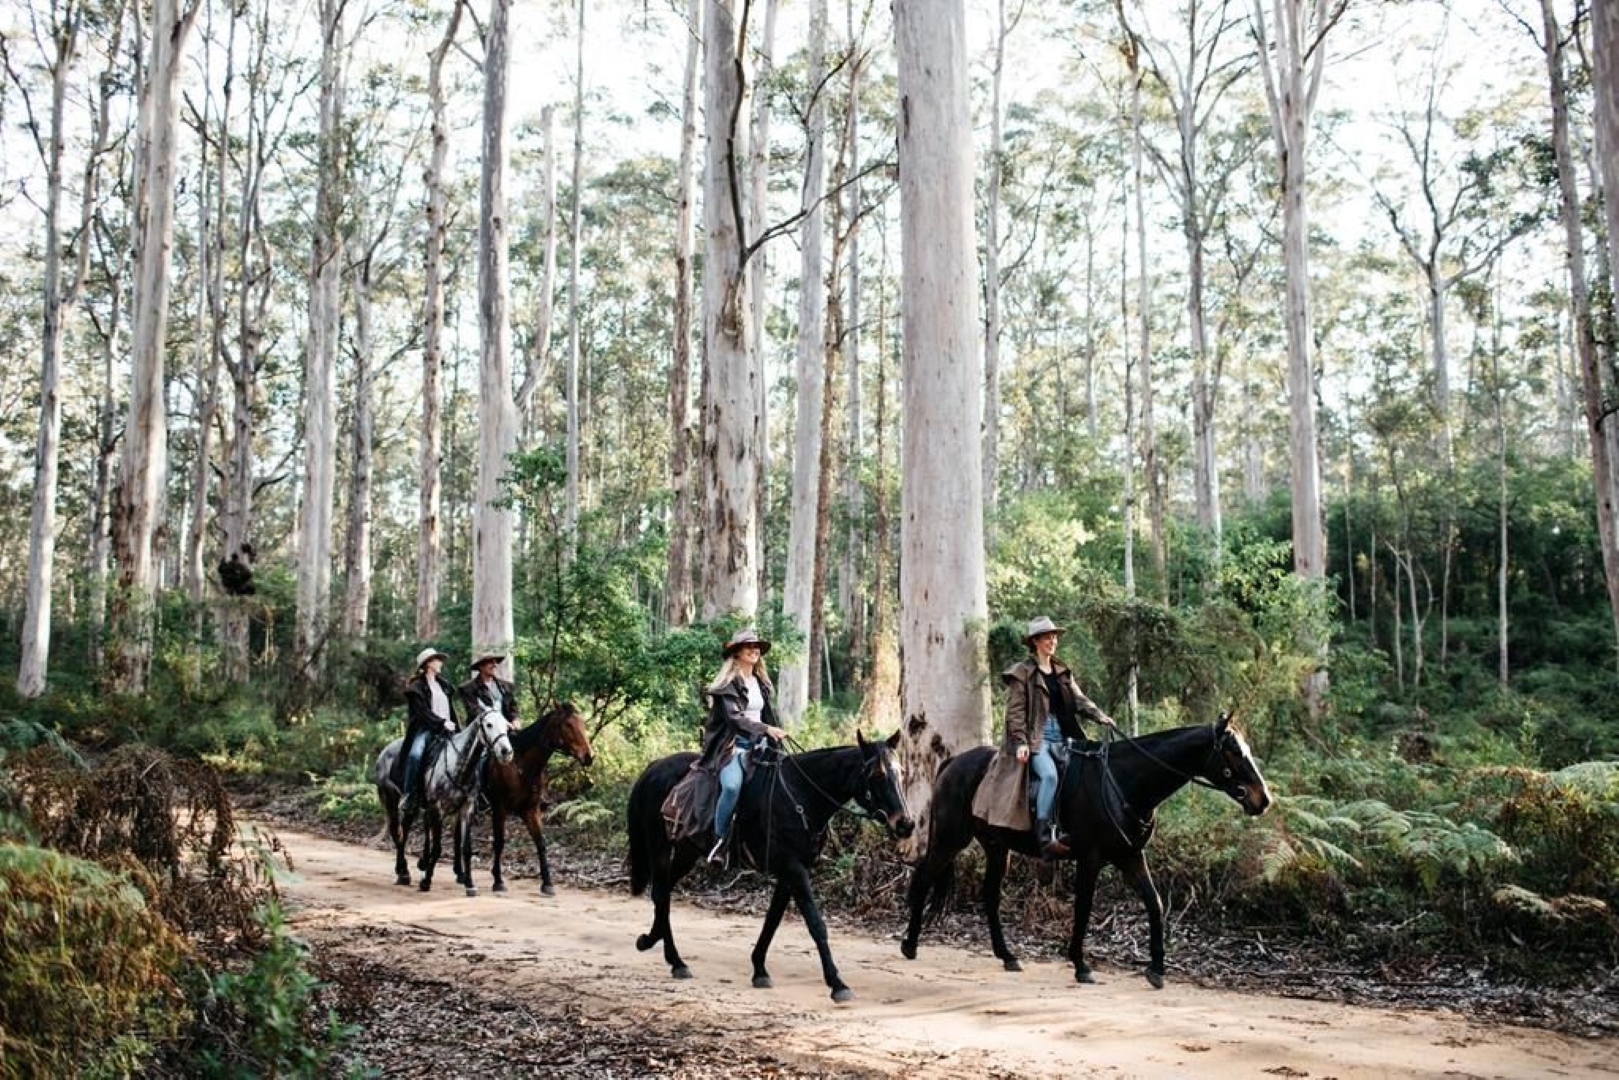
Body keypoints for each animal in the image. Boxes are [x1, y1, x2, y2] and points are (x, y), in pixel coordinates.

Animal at [374, 706, 515, 895]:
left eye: (506, 726)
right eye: (489, 724)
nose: (506, 752)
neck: (459, 766)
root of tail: (383, 753)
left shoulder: (466, 808)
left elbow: (466, 848)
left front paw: (470, 884)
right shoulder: (437, 809)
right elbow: (437, 848)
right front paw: (426, 881)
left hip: (414, 807)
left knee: (404, 831)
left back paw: (407, 870)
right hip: (390, 800)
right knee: (397, 833)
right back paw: (403, 872)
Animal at [478, 700, 594, 896]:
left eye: (583, 724)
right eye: (568, 725)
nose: (589, 756)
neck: (520, 766)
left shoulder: (530, 810)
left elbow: (541, 843)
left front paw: (547, 883)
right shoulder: (499, 808)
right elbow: (499, 842)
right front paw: (498, 881)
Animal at [628, 731, 915, 1002]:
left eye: (900, 772)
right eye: (877, 774)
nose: (906, 824)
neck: (801, 795)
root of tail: (654, 767)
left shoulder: (790, 871)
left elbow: (772, 919)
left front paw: (759, 969)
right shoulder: (794, 869)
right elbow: (815, 924)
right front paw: (837, 983)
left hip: (687, 852)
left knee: (665, 891)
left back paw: (654, 943)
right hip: (660, 846)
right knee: (661, 893)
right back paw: (674, 959)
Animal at [900, 714, 1271, 988]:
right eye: (1234, 752)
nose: (1263, 799)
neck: (1123, 782)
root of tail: (952, 763)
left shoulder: (1130, 857)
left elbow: (1154, 903)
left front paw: (1156, 969)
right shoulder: (1090, 859)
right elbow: (1083, 908)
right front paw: (1081, 965)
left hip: (996, 848)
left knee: (989, 895)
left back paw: (1007, 956)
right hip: (949, 840)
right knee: (923, 879)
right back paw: (909, 944)